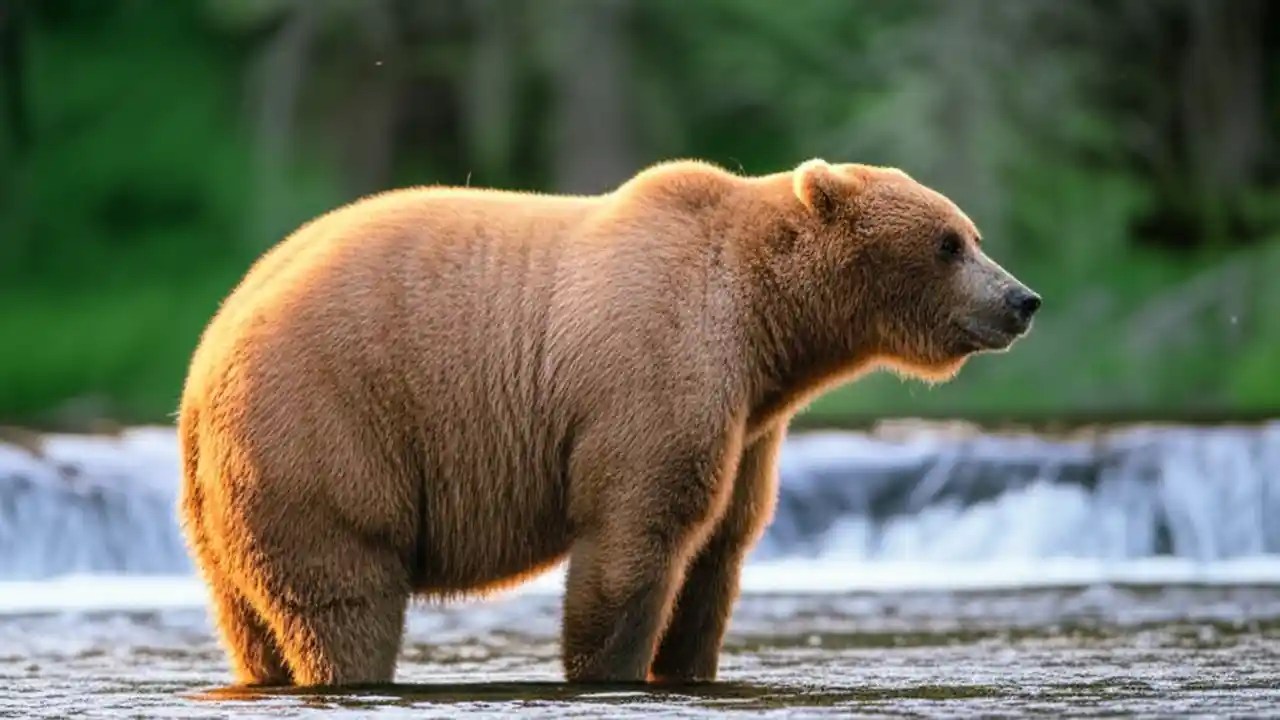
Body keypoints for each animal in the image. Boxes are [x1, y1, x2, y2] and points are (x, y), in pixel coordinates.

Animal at [177, 157, 1040, 688]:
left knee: (250, 617)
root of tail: (207, 355)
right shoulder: (657, 369)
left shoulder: (751, 426)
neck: (765, 328)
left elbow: (719, 551)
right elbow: (637, 533)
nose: (1021, 299)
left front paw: (687, 662)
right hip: (327, 435)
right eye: (948, 243)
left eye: (971, 235)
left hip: (222, 509)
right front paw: (610, 666)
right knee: (343, 598)